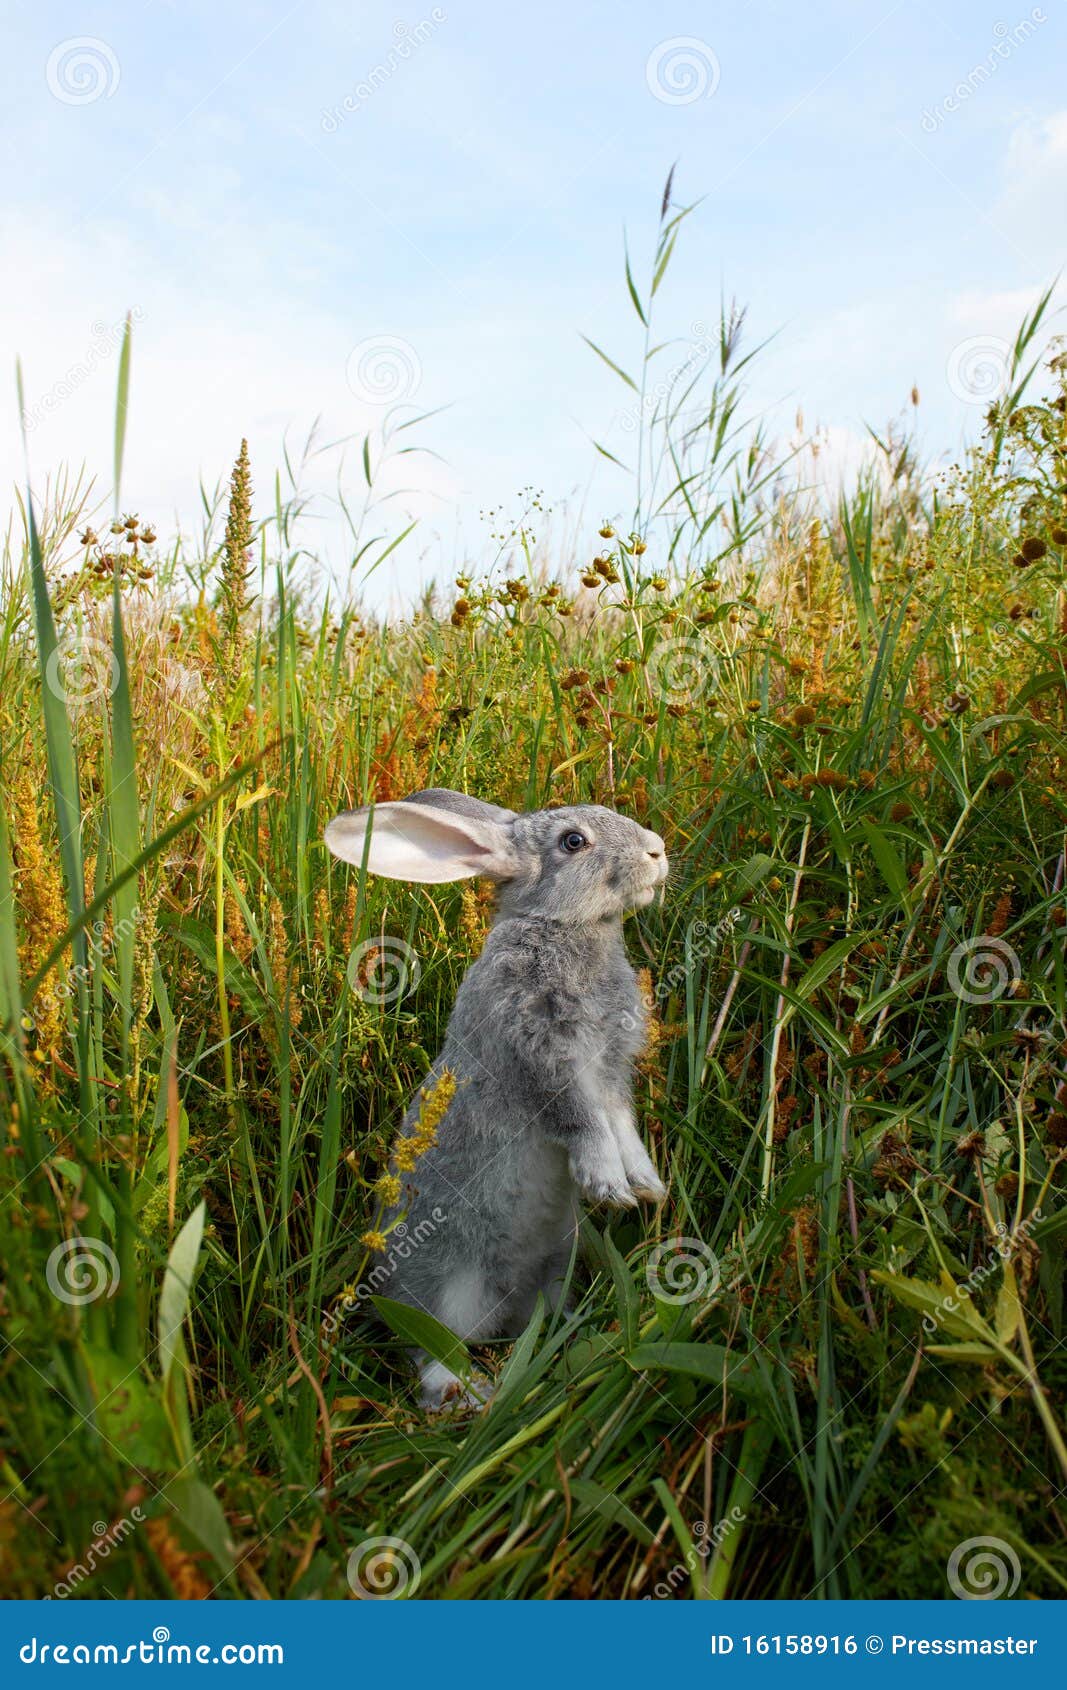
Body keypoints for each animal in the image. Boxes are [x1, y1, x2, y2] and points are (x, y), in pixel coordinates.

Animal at [324, 788, 669, 1407]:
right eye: (573, 842)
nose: (657, 851)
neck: (561, 928)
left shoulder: (611, 1076)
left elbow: (622, 1126)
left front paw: (646, 1187)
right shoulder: (543, 1063)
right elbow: (583, 1124)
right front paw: (607, 1186)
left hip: (554, 1265)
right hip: (443, 1291)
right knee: (428, 1350)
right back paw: (470, 1394)